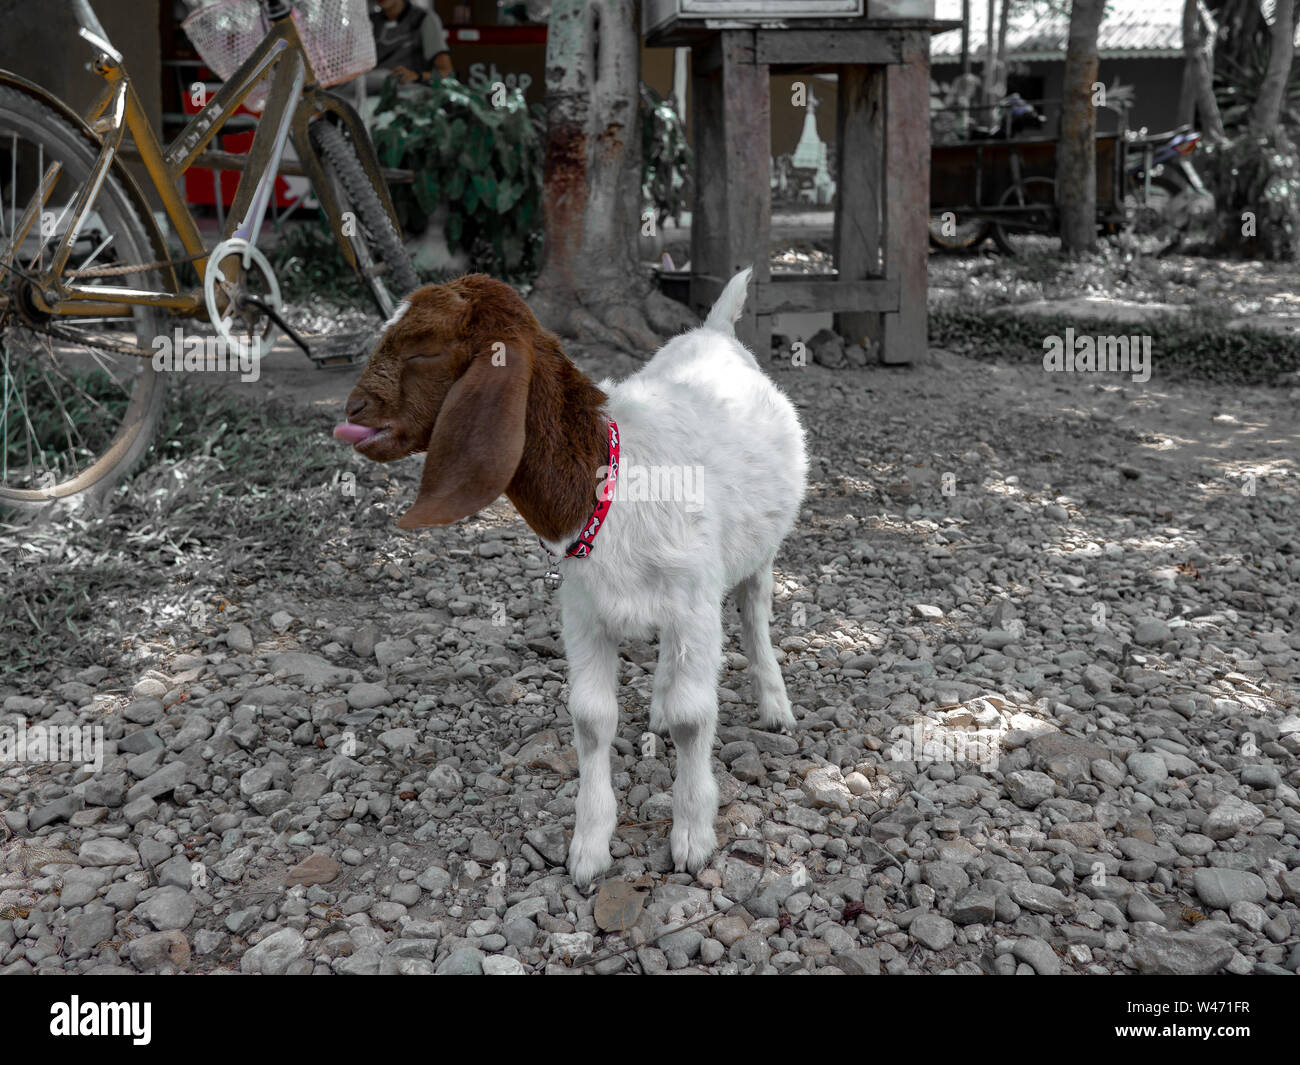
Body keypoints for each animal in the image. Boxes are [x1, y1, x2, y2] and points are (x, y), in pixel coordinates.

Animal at [333, 268, 807, 885]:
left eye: (425, 348)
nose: (354, 409)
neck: (614, 479)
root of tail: (715, 331)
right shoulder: (585, 610)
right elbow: (591, 718)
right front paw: (588, 846)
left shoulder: (694, 605)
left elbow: (693, 718)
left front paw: (692, 837)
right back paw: (658, 706)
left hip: (758, 551)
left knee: (754, 612)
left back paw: (775, 707)